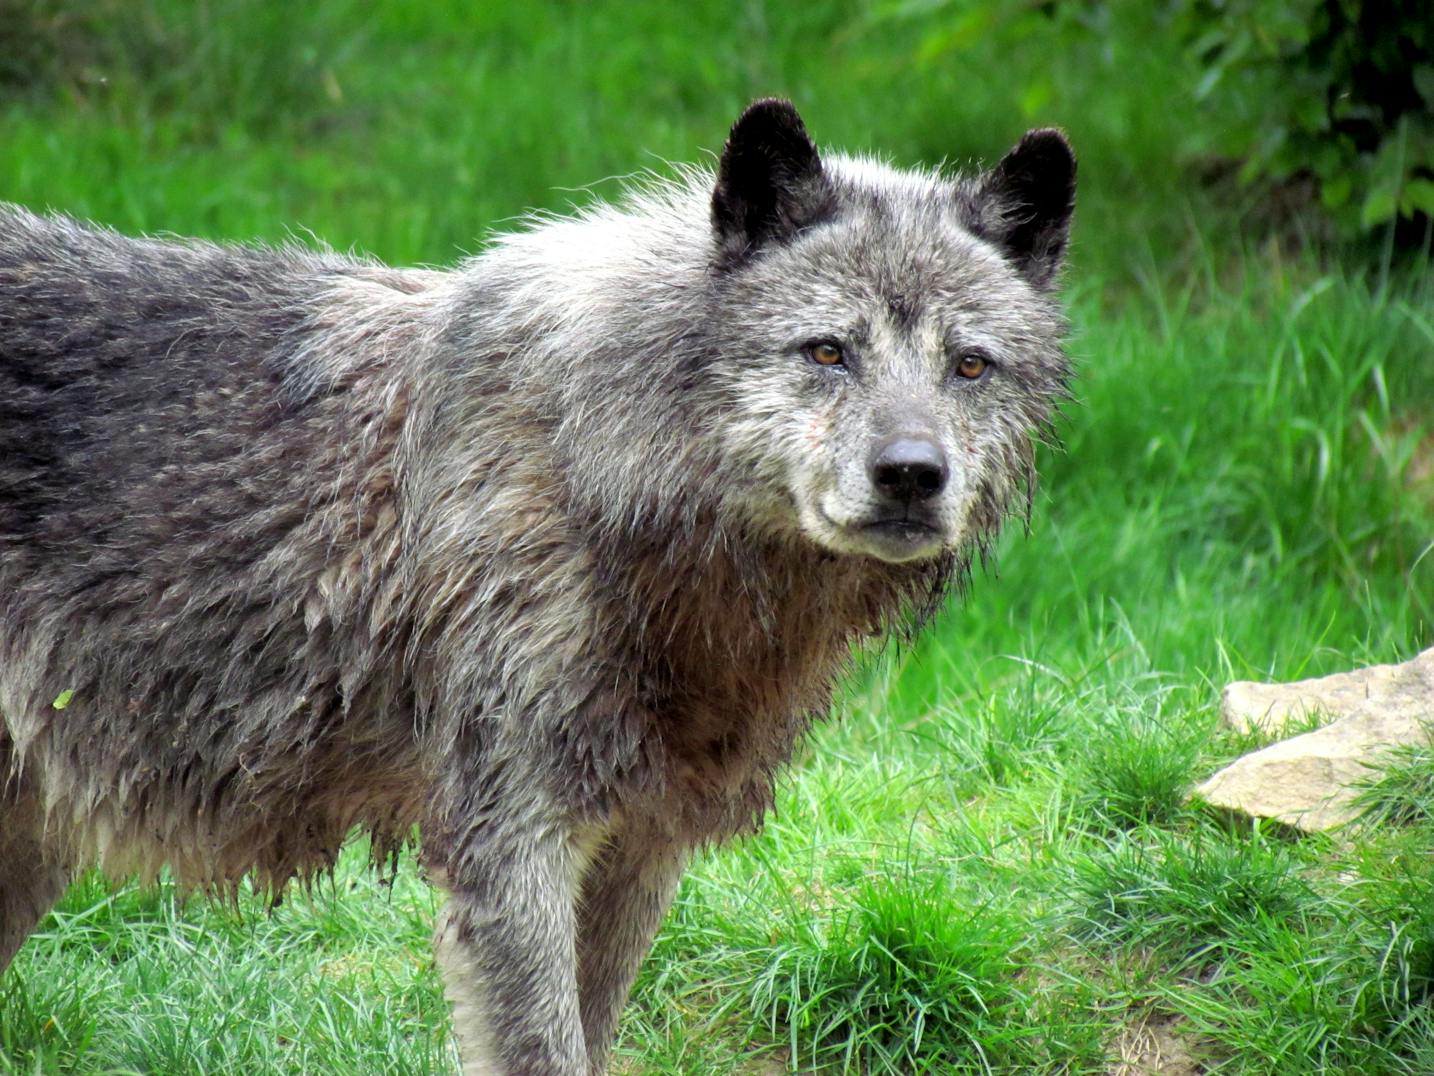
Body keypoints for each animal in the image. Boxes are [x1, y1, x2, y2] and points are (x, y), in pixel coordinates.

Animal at [0, 99, 1075, 1073]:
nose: (913, 474)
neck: (601, 478)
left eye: (969, 365)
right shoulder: (511, 853)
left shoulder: (640, 850)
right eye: (826, 351)